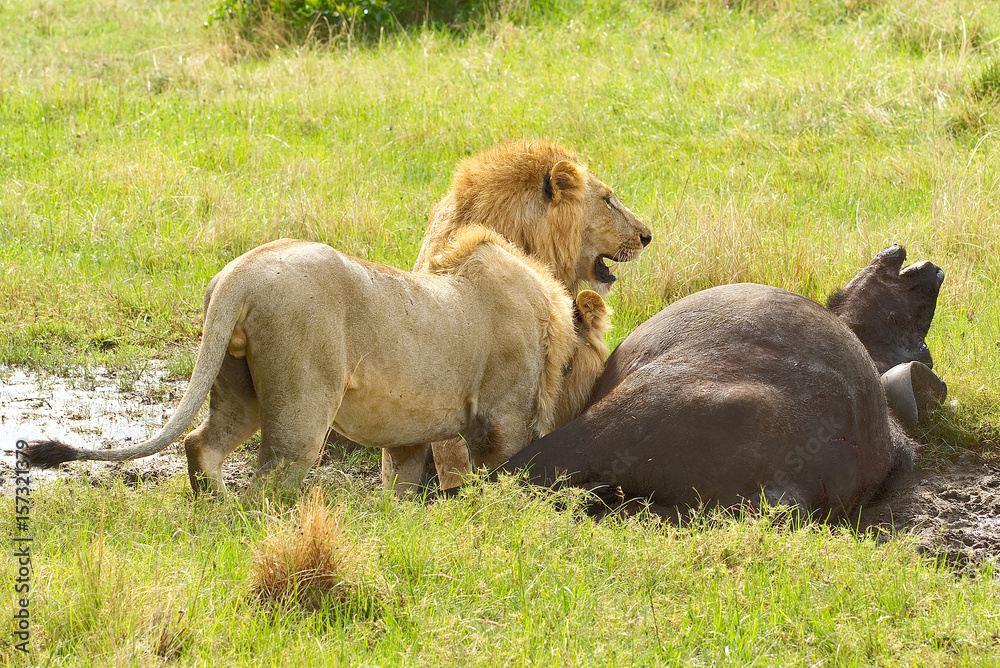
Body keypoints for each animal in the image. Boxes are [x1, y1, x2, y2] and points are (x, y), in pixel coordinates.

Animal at [24, 226, 610, 497]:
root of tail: (239, 274)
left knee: (200, 444)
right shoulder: (502, 420)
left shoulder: (407, 435)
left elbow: (399, 486)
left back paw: (213, 509)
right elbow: (505, 476)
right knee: (271, 477)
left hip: (238, 388)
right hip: (303, 401)